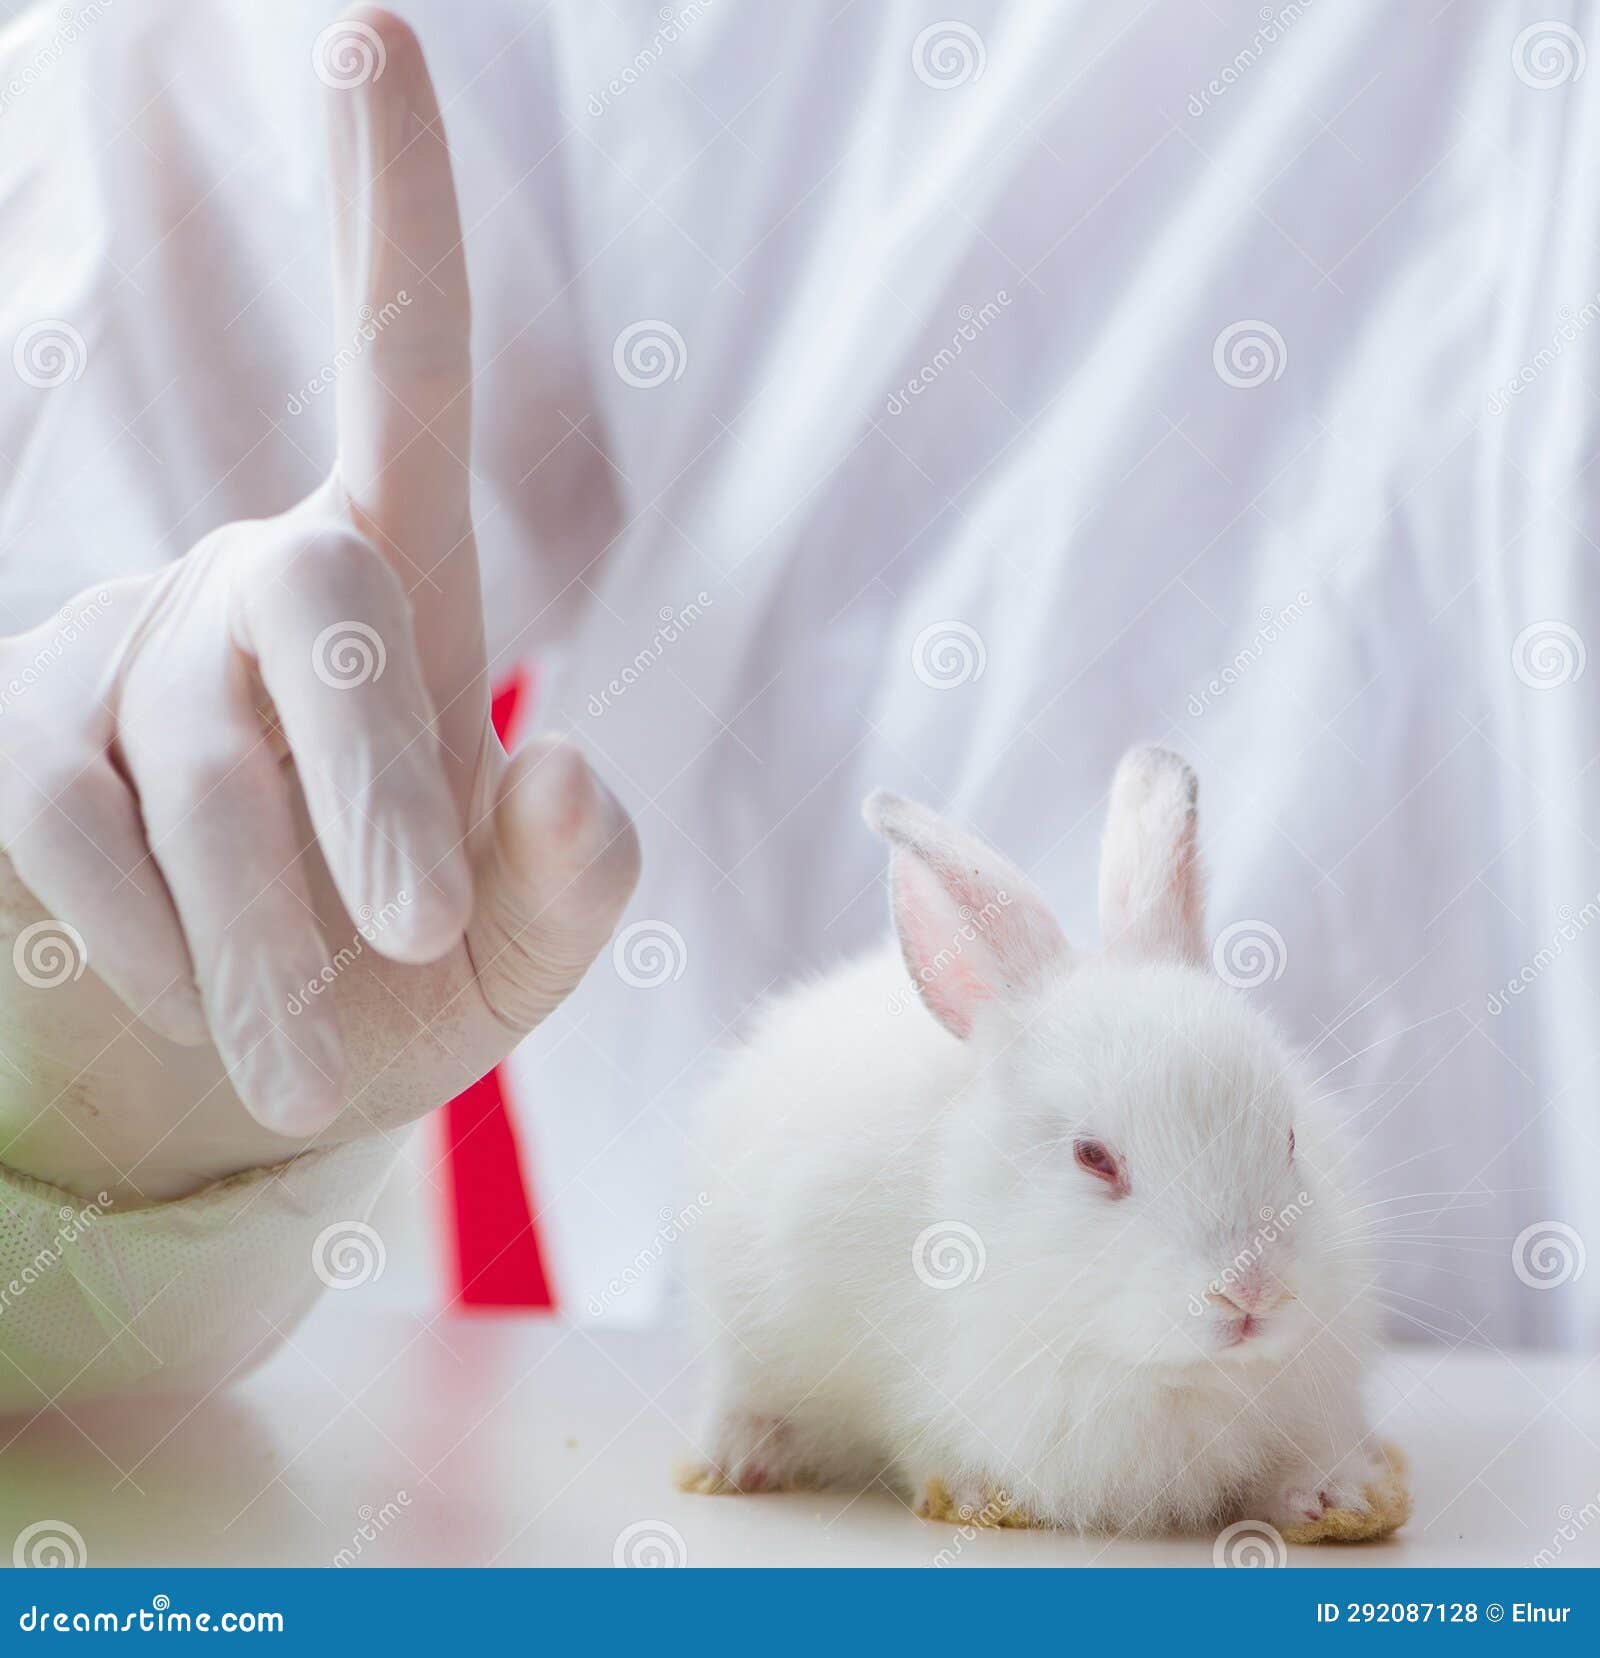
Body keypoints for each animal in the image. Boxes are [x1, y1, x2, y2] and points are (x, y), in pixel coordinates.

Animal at [681, 746, 1402, 1540]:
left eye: (1290, 1138)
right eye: (1093, 1158)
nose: (1251, 1293)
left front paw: (1337, 1498)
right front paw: (975, 1496)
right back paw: (737, 1459)